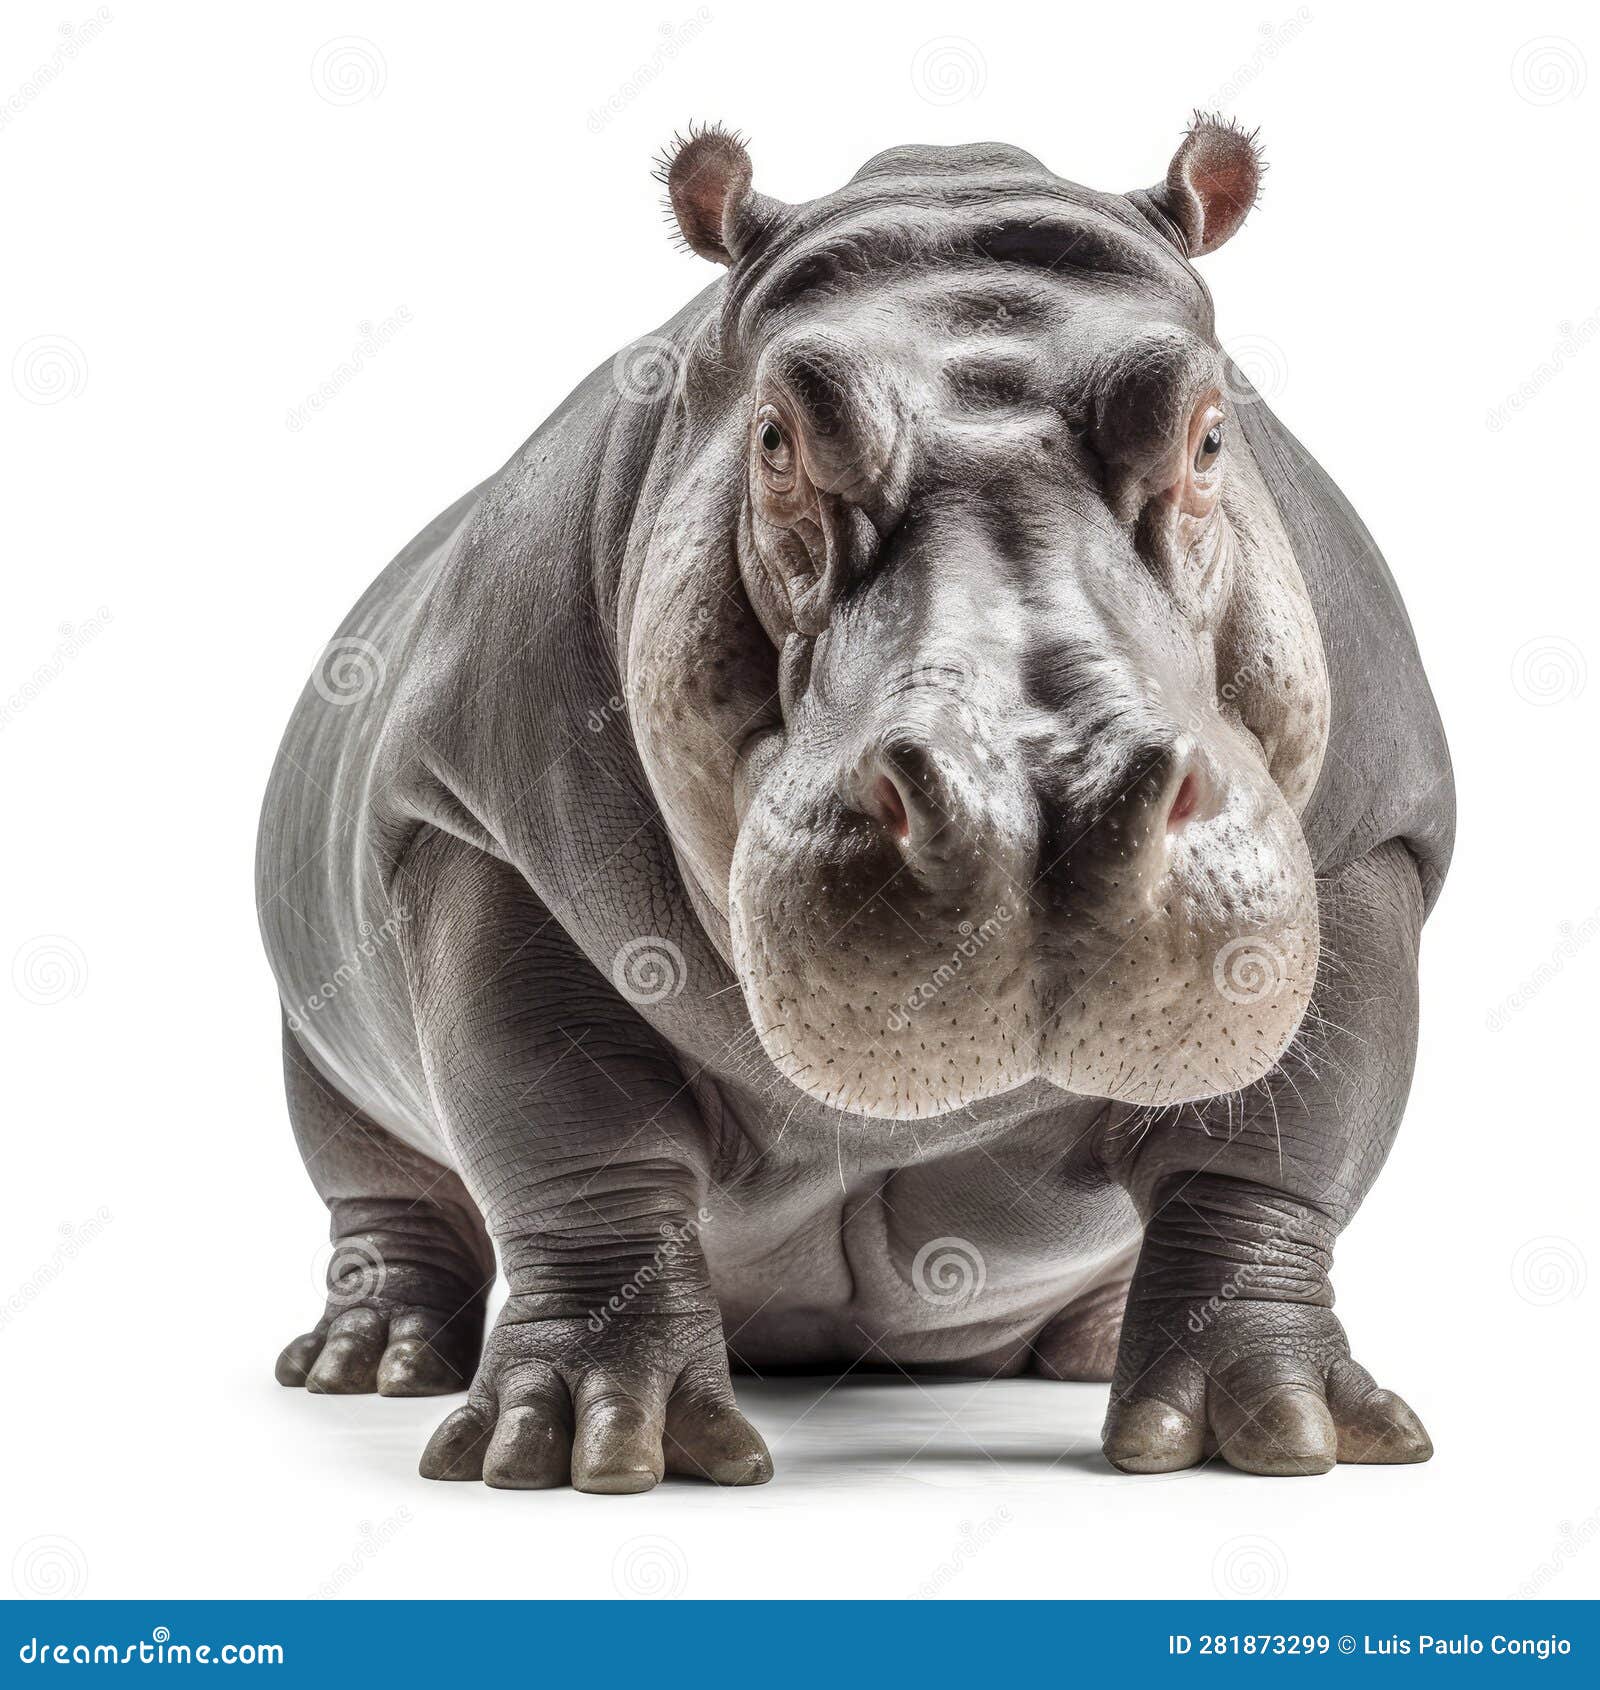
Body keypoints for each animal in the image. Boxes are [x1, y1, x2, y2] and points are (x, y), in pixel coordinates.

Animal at [257, 117, 1453, 1492]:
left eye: (1206, 430)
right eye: (778, 434)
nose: (1041, 807)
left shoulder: (1367, 847)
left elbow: (1273, 1151)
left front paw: (1279, 1431)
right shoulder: (467, 830)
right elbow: (574, 1142)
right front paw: (573, 1444)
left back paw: (1092, 1351)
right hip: (321, 1051)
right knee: (383, 1184)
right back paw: (372, 1364)